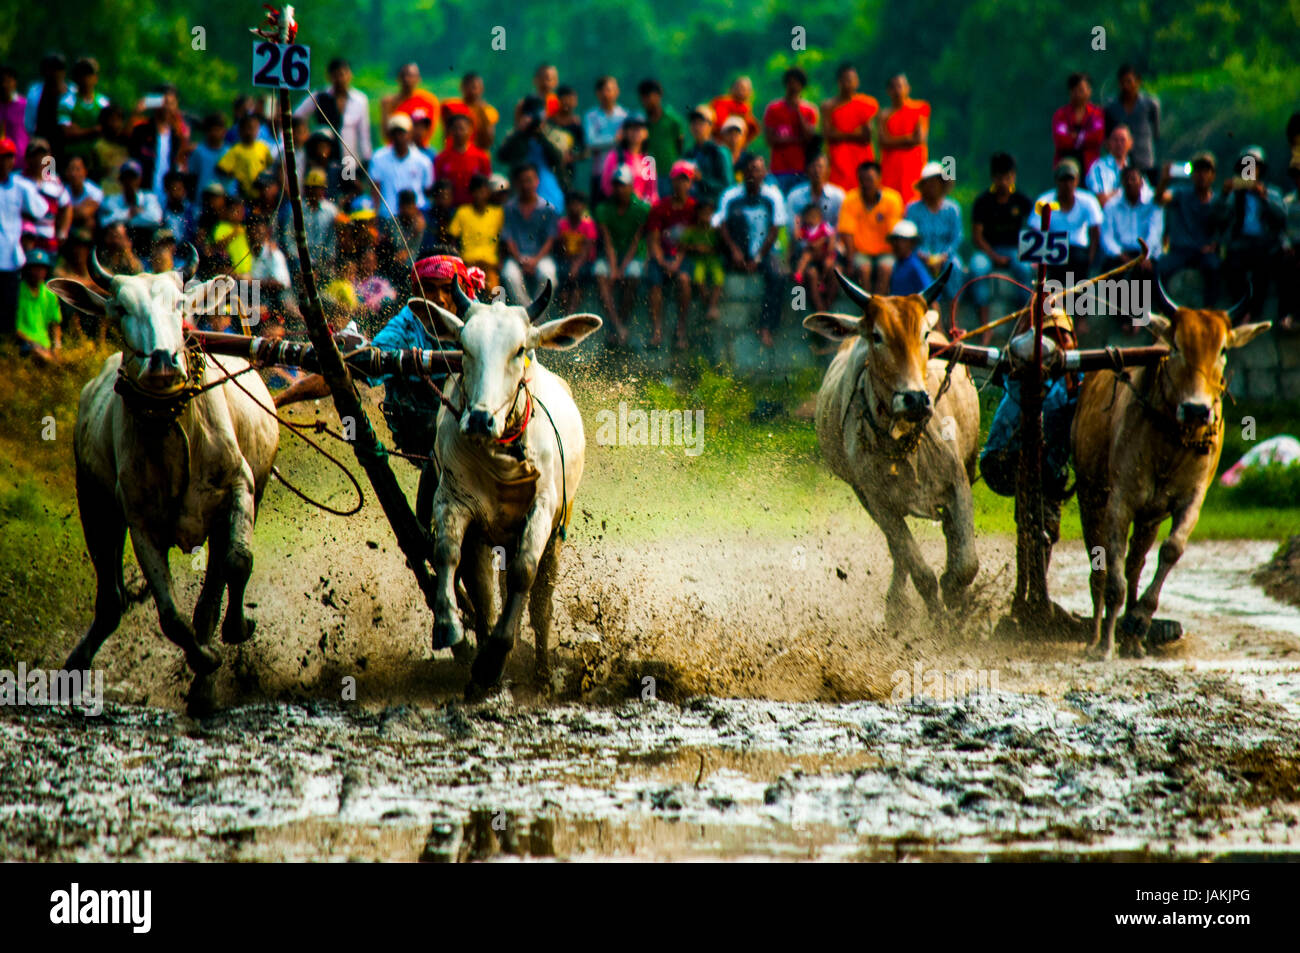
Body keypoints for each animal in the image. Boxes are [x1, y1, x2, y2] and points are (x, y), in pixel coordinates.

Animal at [48, 249, 278, 709]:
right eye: (120, 309)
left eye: (179, 304)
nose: (161, 359)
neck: (174, 424)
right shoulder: (141, 524)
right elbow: (170, 616)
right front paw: (205, 657)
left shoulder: (241, 489)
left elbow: (238, 562)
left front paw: (237, 629)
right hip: (94, 503)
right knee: (111, 601)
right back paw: (77, 667)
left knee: (210, 593)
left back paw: (204, 685)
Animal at [413, 279, 601, 700]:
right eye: (464, 347)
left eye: (519, 350)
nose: (481, 419)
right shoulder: (453, 500)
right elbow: (446, 553)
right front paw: (449, 626)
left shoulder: (543, 508)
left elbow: (523, 574)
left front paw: (495, 657)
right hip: (489, 538)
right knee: (484, 593)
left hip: (555, 533)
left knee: (540, 603)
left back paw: (542, 672)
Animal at [803, 265, 981, 629]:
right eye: (877, 336)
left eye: (924, 335)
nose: (914, 398)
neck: (904, 441)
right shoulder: (877, 499)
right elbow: (919, 570)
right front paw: (935, 620)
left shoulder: (959, 481)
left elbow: (965, 563)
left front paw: (957, 597)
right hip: (863, 494)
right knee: (899, 552)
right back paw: (897, 607)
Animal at [1072, 278, 1269, 659]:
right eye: (1176, 347)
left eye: (1222, 349)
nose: (1196, 409)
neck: (1171, 440)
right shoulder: (1119, 501)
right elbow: (1113, 575)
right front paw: (1105, 645)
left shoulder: (1190, 499)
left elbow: (1172, 550)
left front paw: (1139, 620)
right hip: (1090, 498)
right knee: (1099, 569)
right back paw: (1094, 637)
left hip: (1148, 519)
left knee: (1136, 565)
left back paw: (1133, 641)